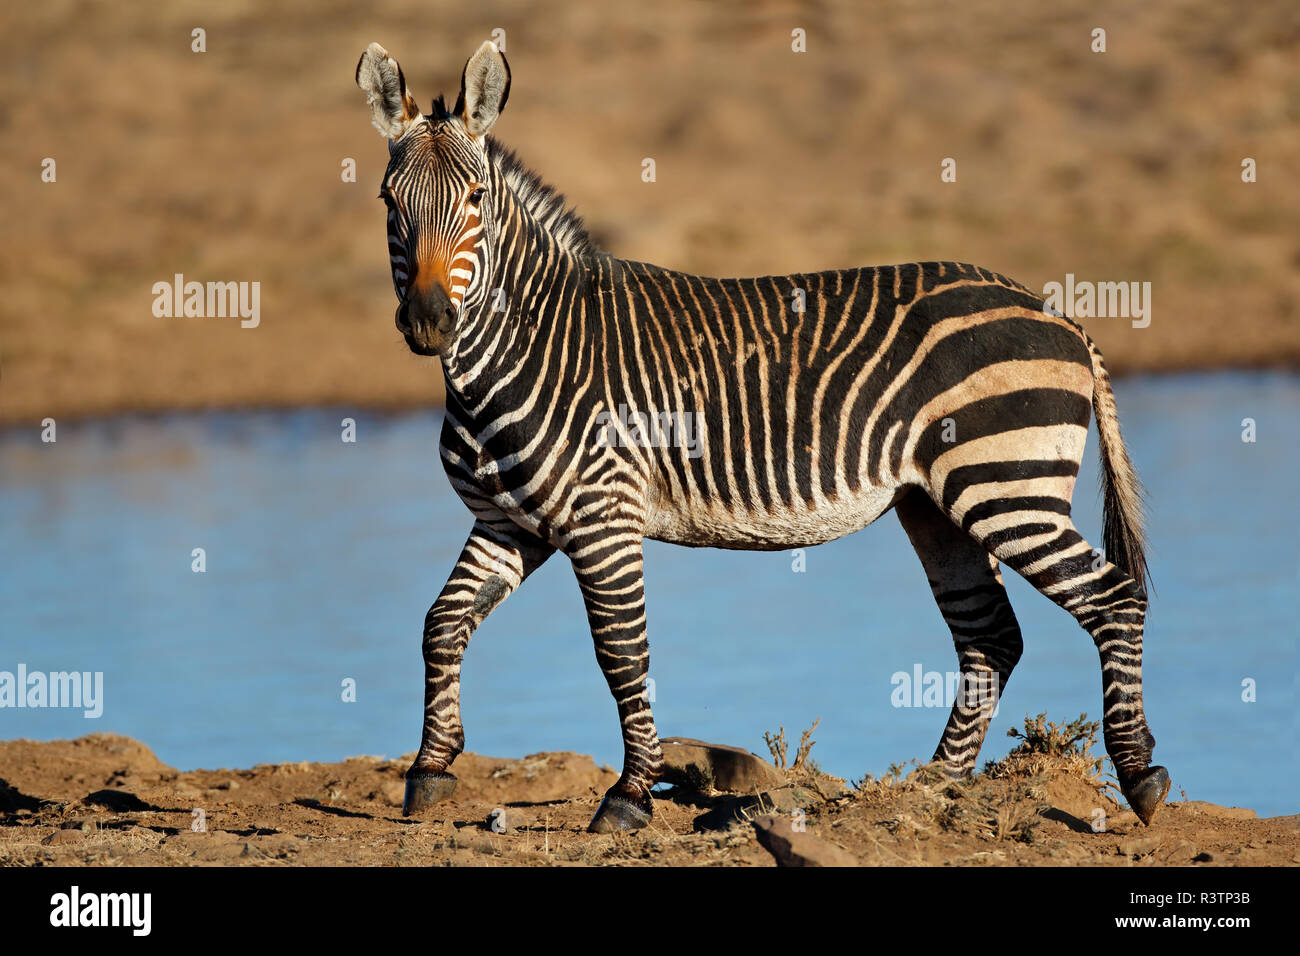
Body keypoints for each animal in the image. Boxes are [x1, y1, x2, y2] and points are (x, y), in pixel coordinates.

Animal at [355, 40, 1170, 833]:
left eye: (476, 201)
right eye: (389, 202)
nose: (429, 322)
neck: (529, 348)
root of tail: (1058, 314)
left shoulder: (602, 519)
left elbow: (621, 653)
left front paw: (630, 794)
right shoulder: (509, 523)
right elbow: (441, 623)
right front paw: (429, 769)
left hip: (1007, 487)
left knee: (1113, 600)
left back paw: (1138, 775)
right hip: (938, 505)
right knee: (990, 636)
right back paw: (924, 791)